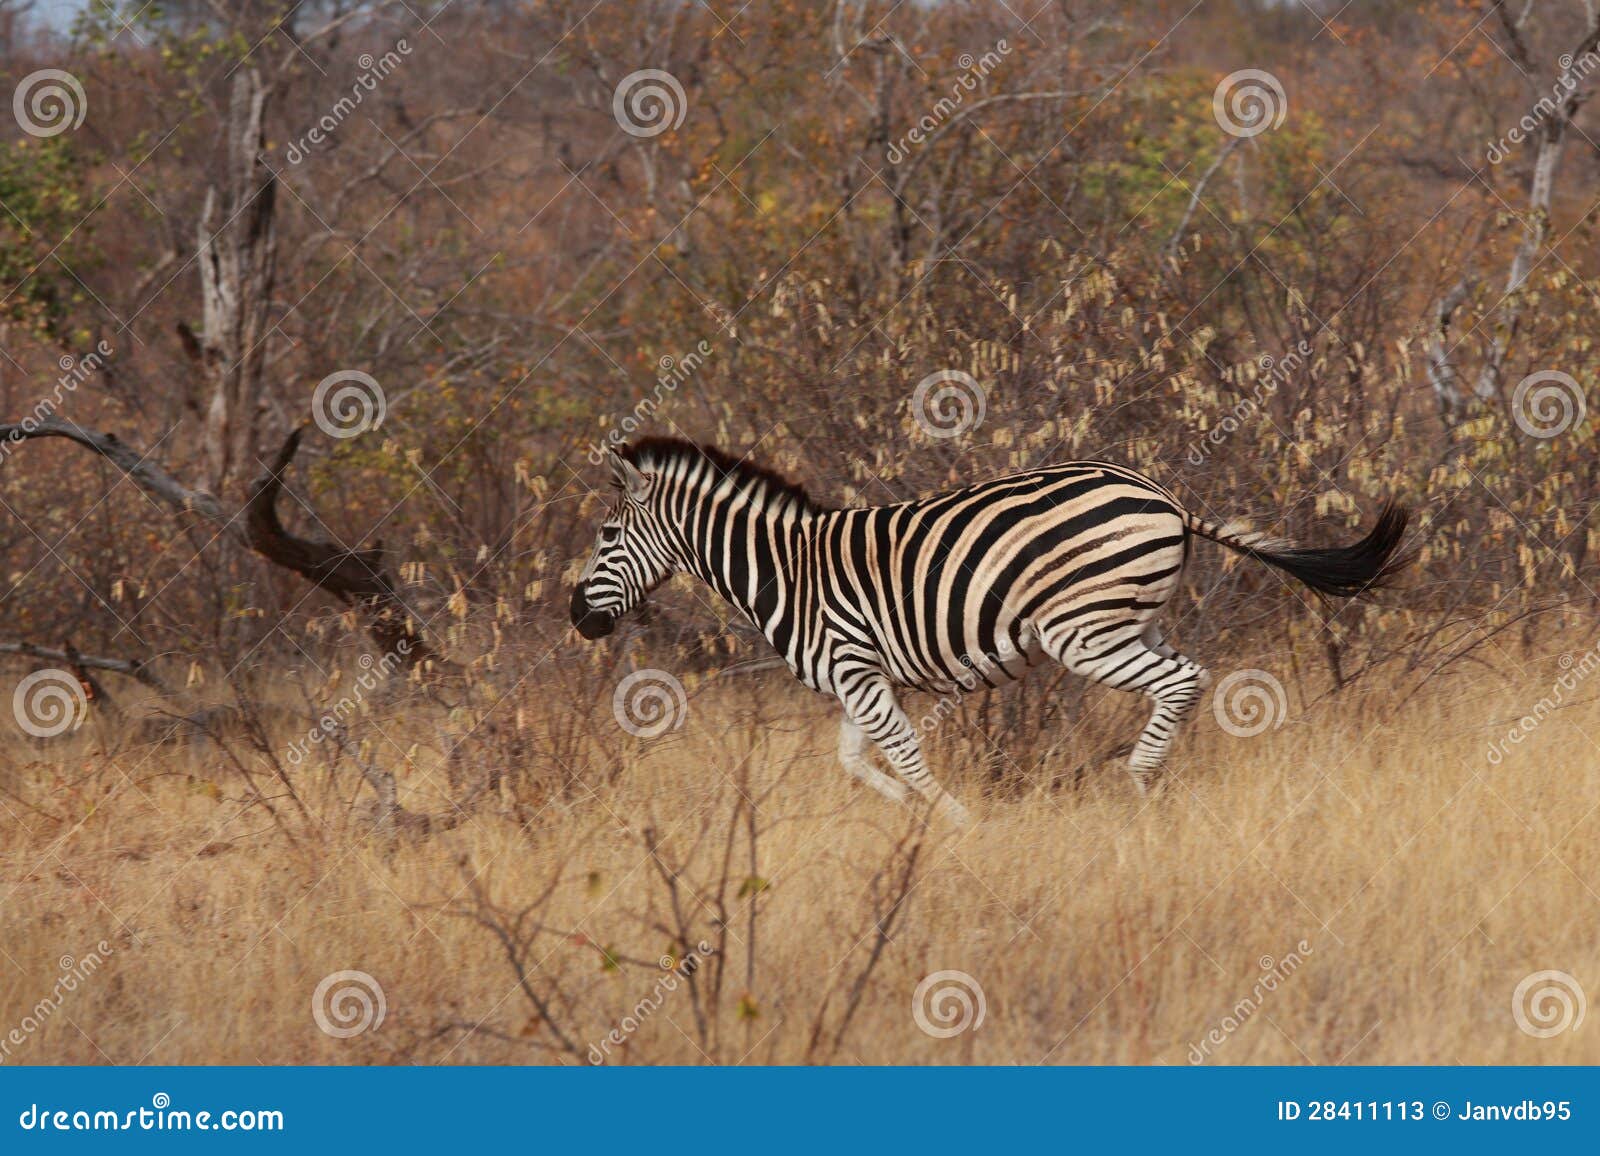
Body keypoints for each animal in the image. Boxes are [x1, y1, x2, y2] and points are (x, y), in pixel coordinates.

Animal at [571, 438, 1411, 823]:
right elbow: (855, 762)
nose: (576, 617)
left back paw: (1137, 780)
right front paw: (914, 815)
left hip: (1081, 631)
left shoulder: (854, 668)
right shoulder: (858, 676)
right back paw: (1151, 775)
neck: (787, 571)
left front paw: (958, 821)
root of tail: (1166, 498)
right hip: (1126, 621)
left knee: (1184, 679)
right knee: (1183, 675)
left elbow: (903, 752)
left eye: (608, 534)